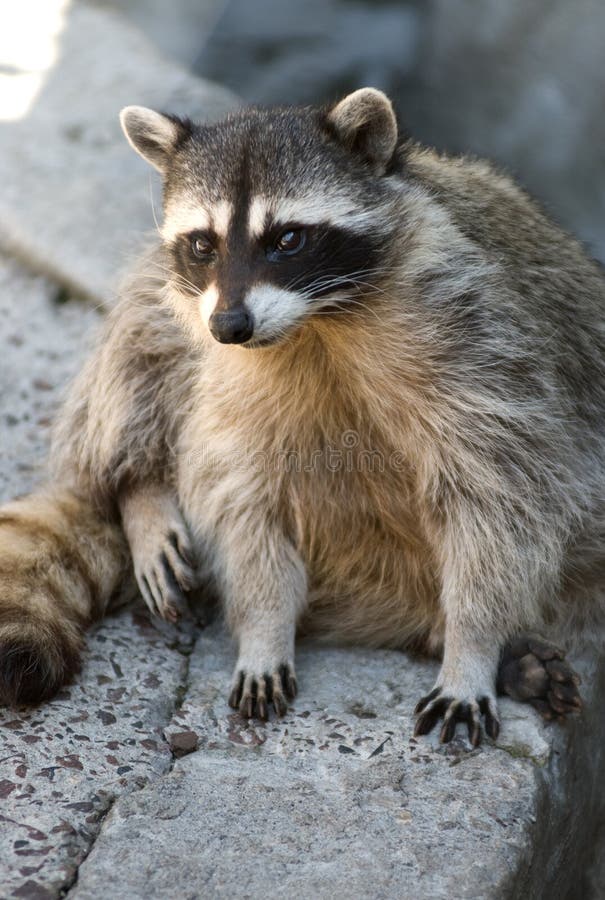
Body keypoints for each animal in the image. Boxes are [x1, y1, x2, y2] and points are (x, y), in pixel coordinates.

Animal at [0, 88, 595, 745]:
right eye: (203, 243)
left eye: (287, 239)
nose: (229, 326)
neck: (313, 323)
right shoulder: (226, 379)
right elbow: (241, 501)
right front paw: (264, 626)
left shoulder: (477, 345)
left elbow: (499, 500)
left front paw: (473, 647)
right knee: (139, 331)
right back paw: (139, 491)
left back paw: (479, 645)